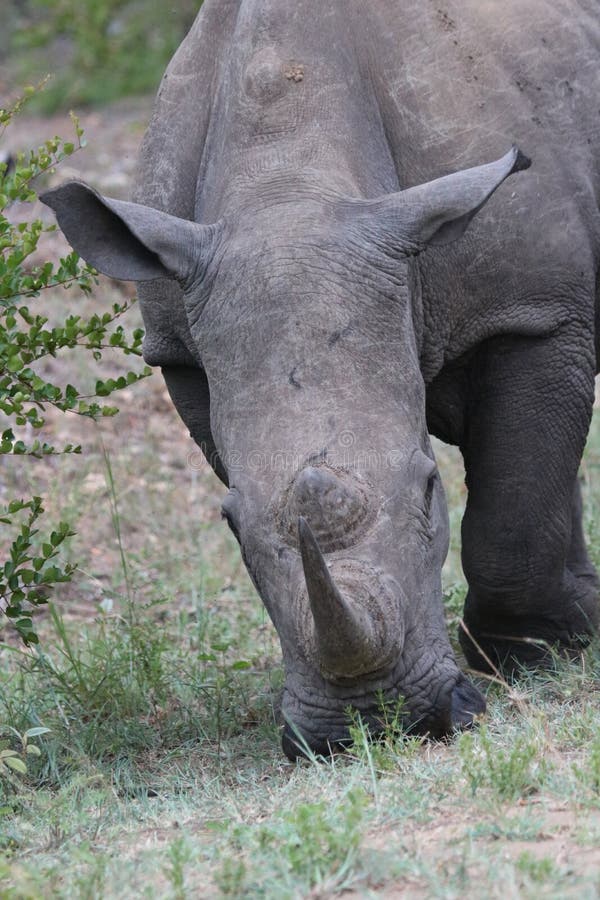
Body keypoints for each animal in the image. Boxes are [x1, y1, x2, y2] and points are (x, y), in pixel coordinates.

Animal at [42, 0, 600, 758]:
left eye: (430, 489)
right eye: (229, 525)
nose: (381, 724)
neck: (288, 184)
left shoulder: (534, 311)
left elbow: (514, 505)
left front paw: (537, 652)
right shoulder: (182, 350)